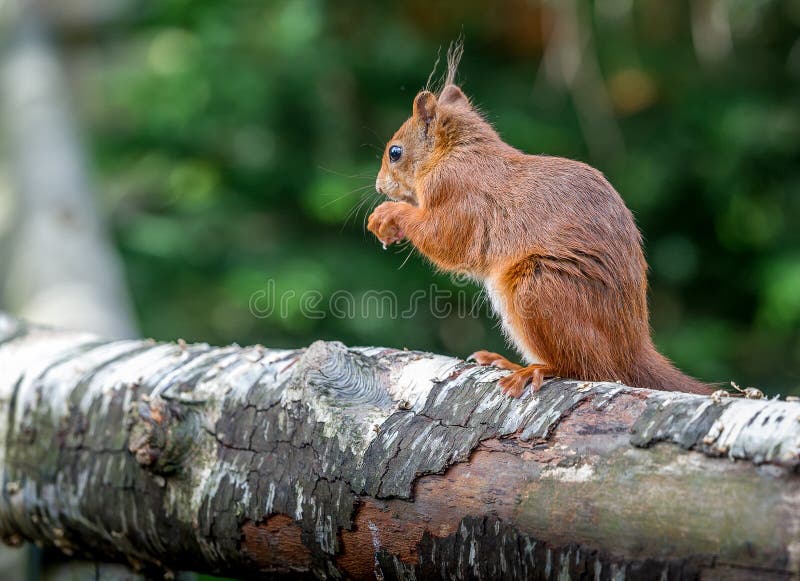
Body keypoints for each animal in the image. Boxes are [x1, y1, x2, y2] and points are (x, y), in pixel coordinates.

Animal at [367, 45, 711, 398]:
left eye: (395, 152)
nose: (380, 187)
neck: (455, 153)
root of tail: (630, 348)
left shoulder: (458, 193)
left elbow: (446, 240)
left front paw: (389, 214)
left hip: (539, 288)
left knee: (587, 368)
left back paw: (533, 370)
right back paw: (507, 361)